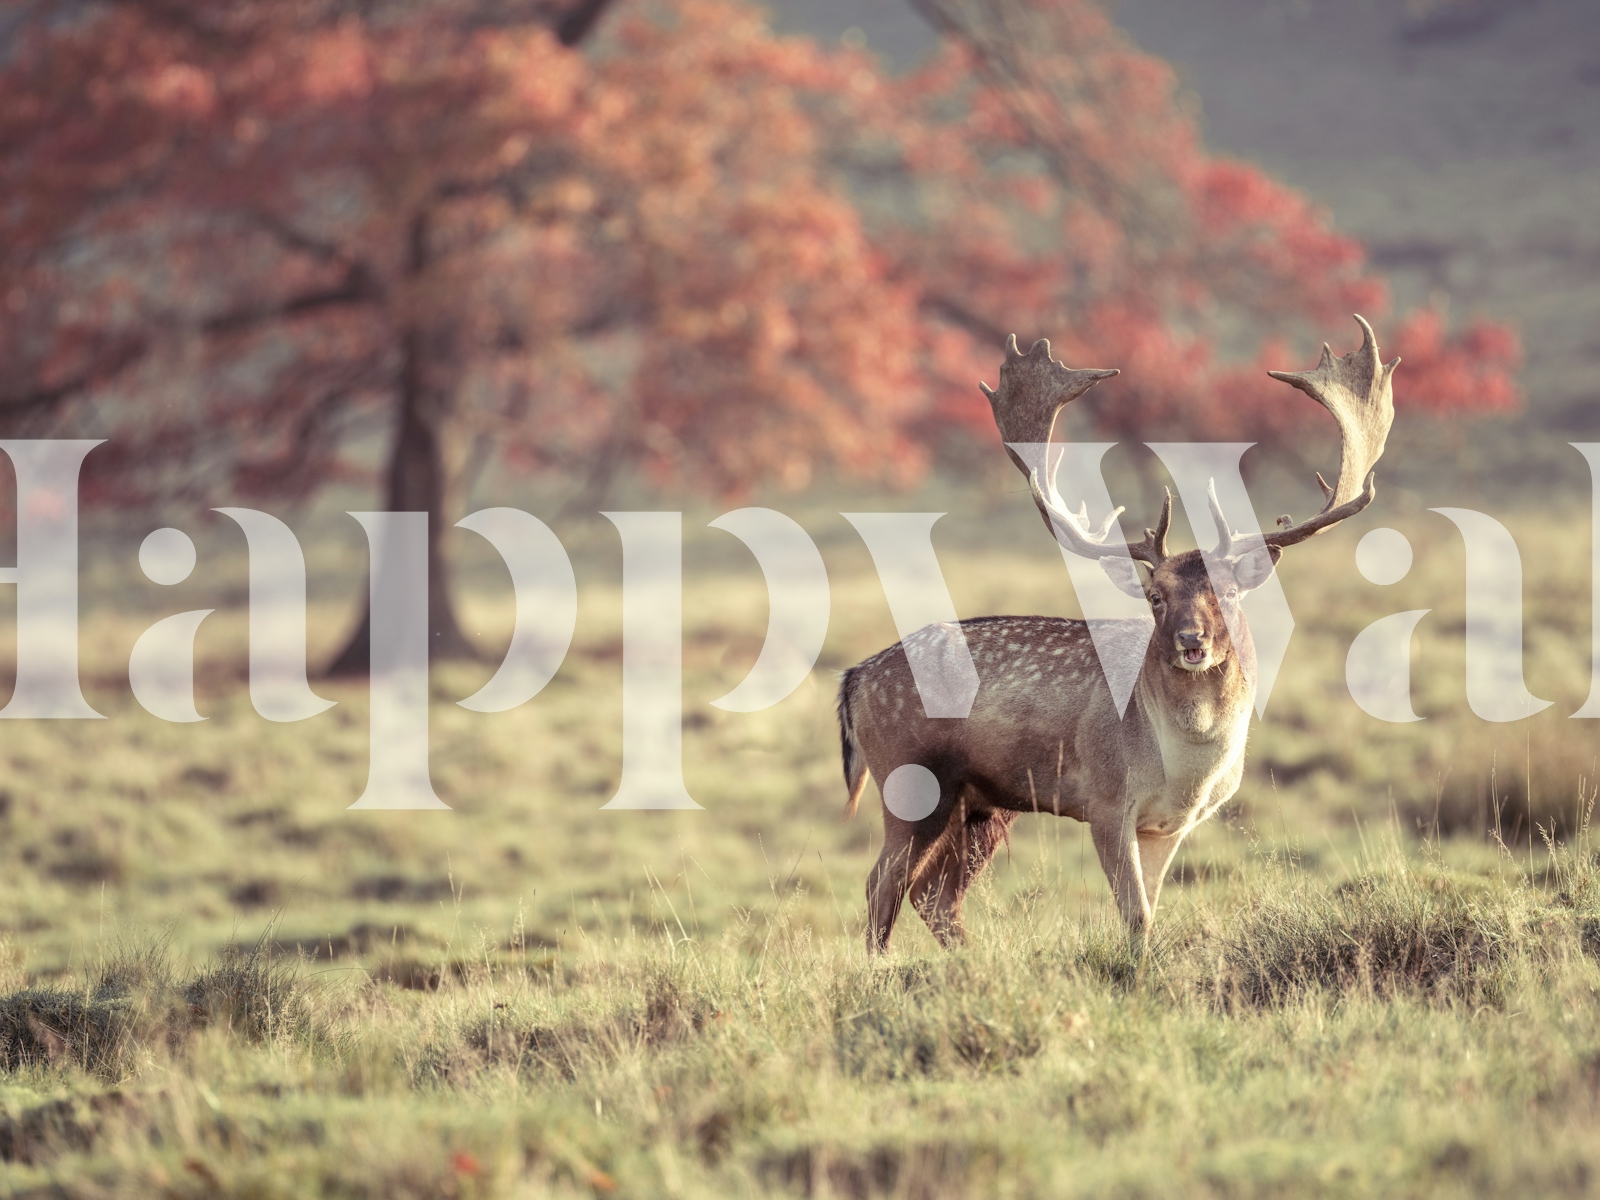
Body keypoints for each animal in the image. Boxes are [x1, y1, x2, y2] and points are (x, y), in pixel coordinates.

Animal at [838, 316, 1397, 952]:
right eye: (1156, 596)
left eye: (1229, 593)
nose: (1191, 642)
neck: (1186, 769)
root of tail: (854, 678)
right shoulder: (1105, 801)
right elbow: (1134, 915)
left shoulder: (1168, 825)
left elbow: (1149, 912)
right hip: (912, 781)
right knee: (882, 884)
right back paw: (882, 967)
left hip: (981, 804)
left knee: (934, 894)